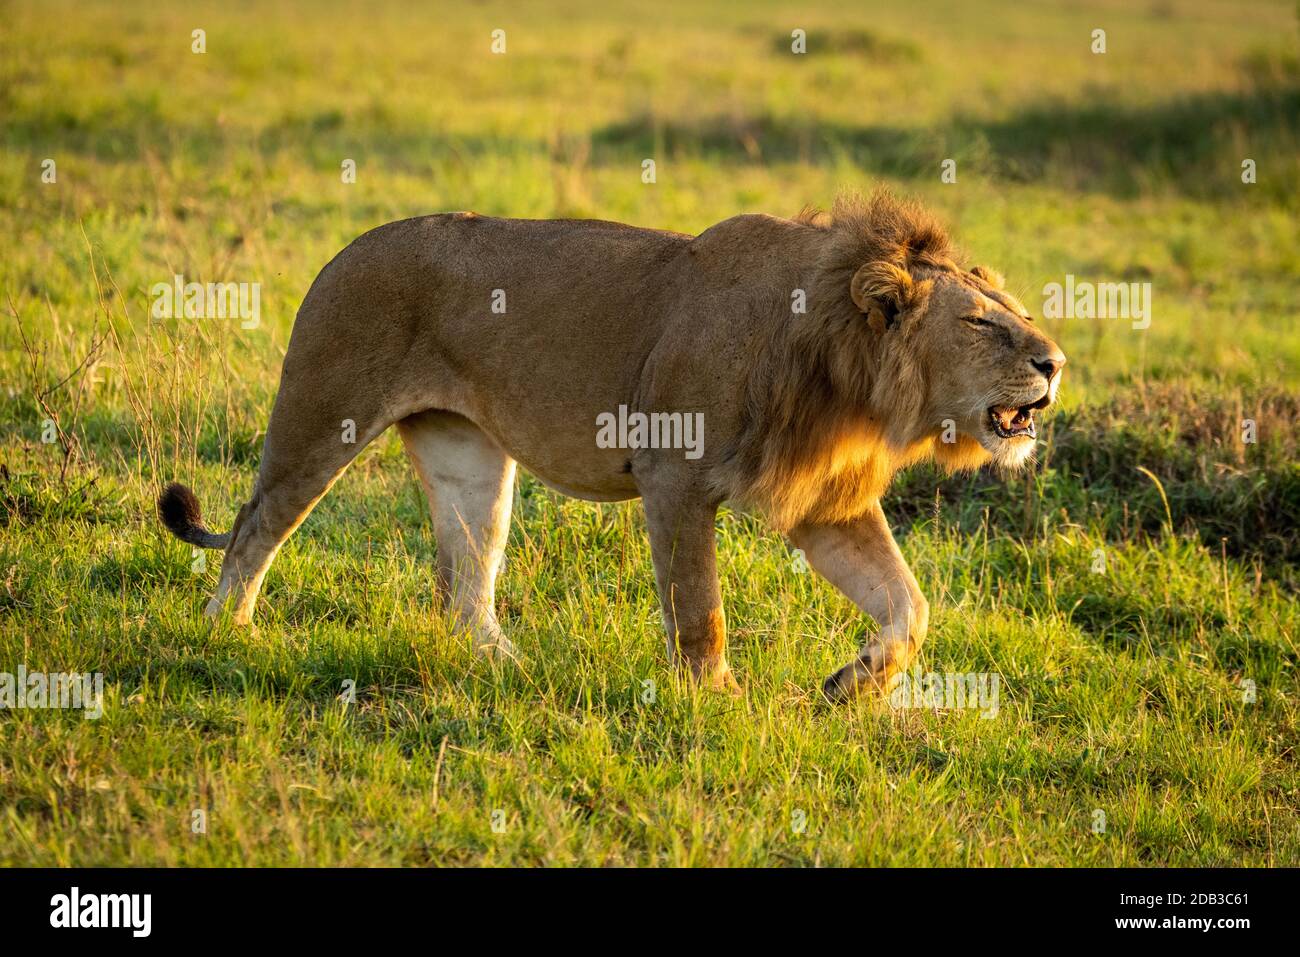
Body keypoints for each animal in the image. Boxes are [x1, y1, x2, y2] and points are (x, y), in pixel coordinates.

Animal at [158, 190, 1065, 702]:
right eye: (981, 323)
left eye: (1018, 311)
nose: (1055, 361)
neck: (846, 371)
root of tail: (343, 249)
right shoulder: (674, 477)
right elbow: (700, 609)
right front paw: (713, 700)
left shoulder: (826, 506)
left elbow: (909, 604)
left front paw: (848, 686)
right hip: (324, 411)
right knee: (255, 526)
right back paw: (228, 635)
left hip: (469, 456)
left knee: (466, 577)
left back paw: (506, 668)